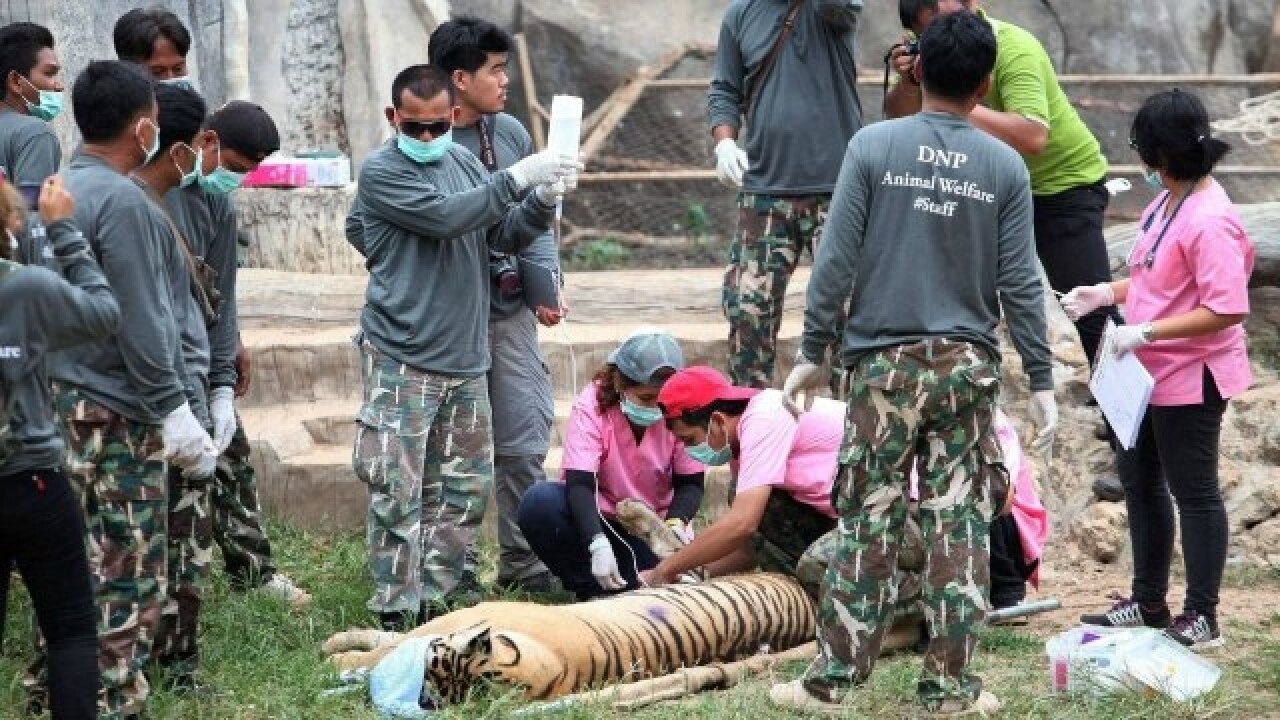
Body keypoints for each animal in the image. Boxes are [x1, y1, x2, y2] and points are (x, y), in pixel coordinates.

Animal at [324, 573, 816, 704]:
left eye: (437, 668)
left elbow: (384, 648)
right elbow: (388, 639)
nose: (425, 698)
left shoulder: (461, 618)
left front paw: (332, 658)